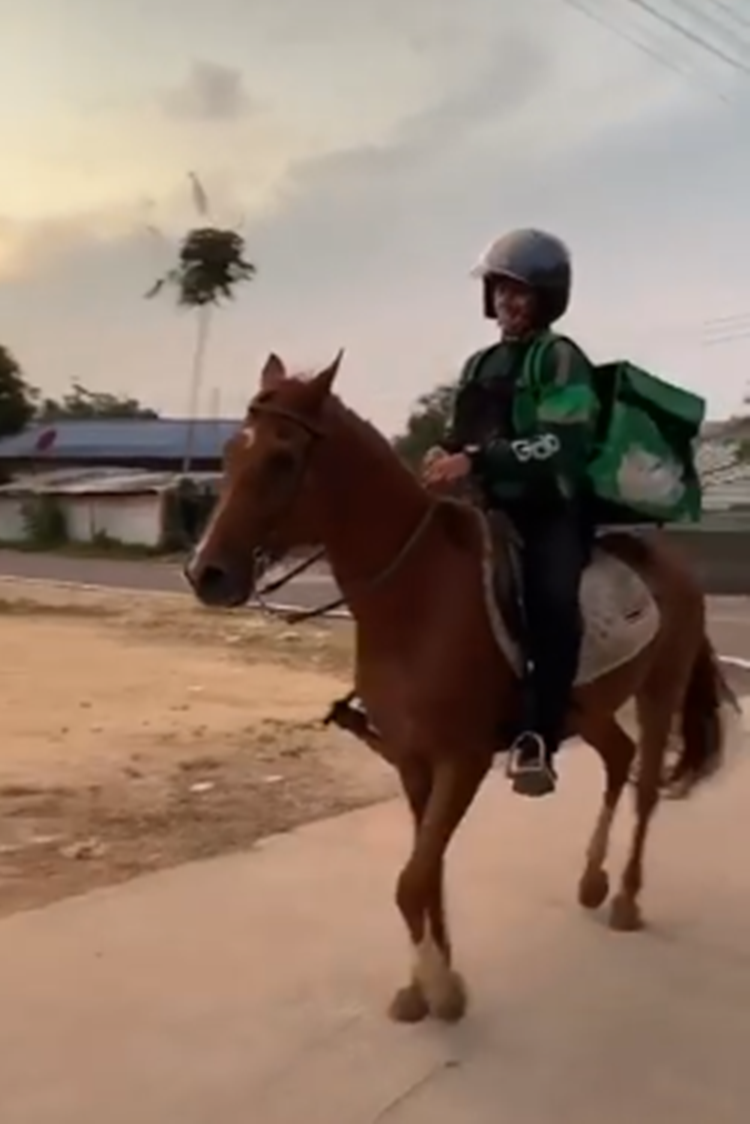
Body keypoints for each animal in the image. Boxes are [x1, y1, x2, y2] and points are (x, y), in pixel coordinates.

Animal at [185, 350, 739, 1025]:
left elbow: (411, 880)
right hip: (588, 708)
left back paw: (627, 901)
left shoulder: (462, 760)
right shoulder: (413, 763)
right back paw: (592, 882)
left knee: (648, 785)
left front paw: (442, 989)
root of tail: (676, 562)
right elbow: (427, 873)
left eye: (283, 458)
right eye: (228, 453)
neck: (417, 596)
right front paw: (426, 984)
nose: (205, 573)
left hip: (661, 688)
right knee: (619, 757)